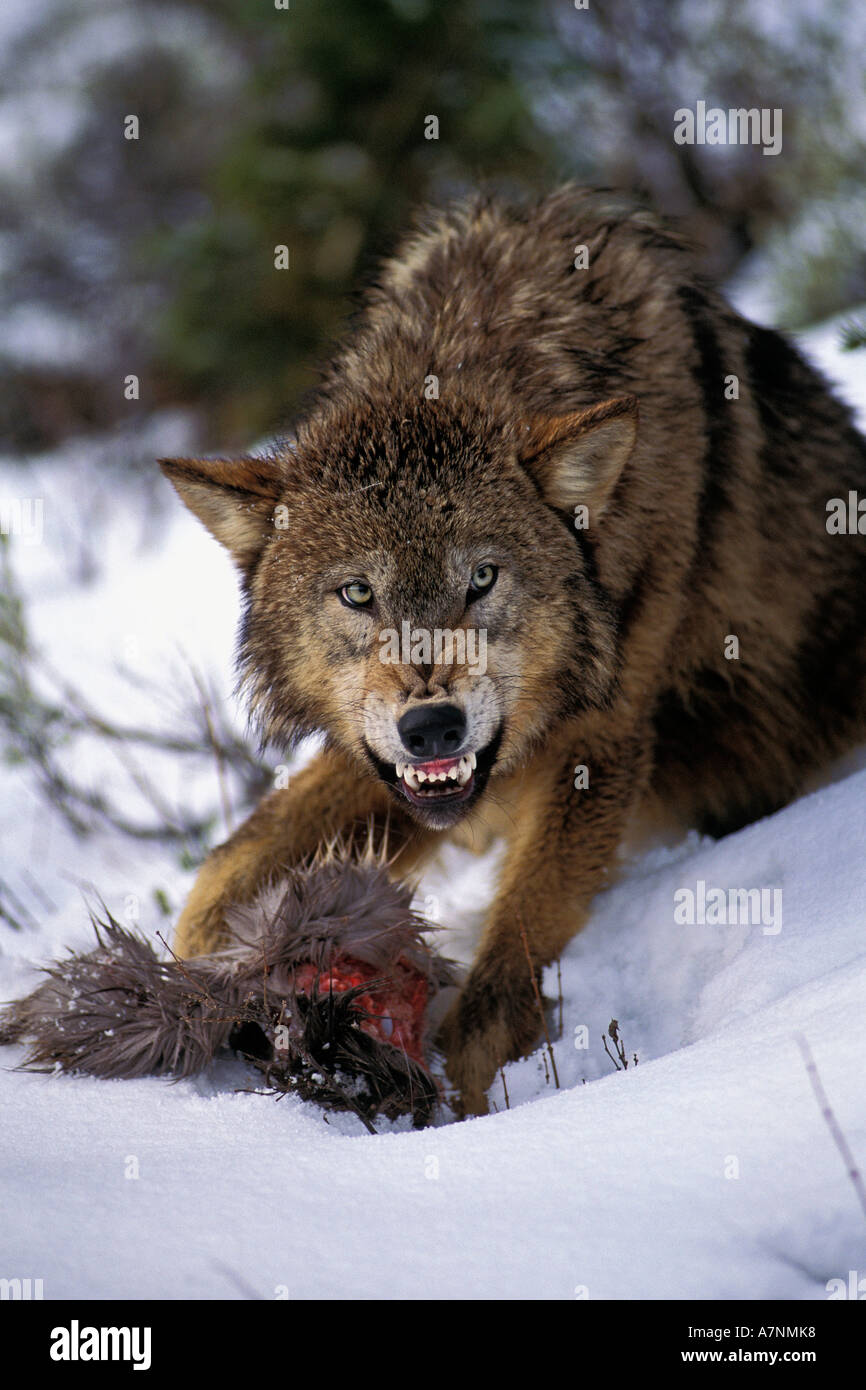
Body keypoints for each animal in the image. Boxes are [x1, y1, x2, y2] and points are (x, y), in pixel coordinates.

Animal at [160, 185, 866, 1115]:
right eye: (358, 594)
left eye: (483, 579)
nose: (432, 728)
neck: (481, 334)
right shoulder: (382, 763)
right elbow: (217, 882)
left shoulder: (596, 742)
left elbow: (498, 993)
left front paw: (460, 1115)